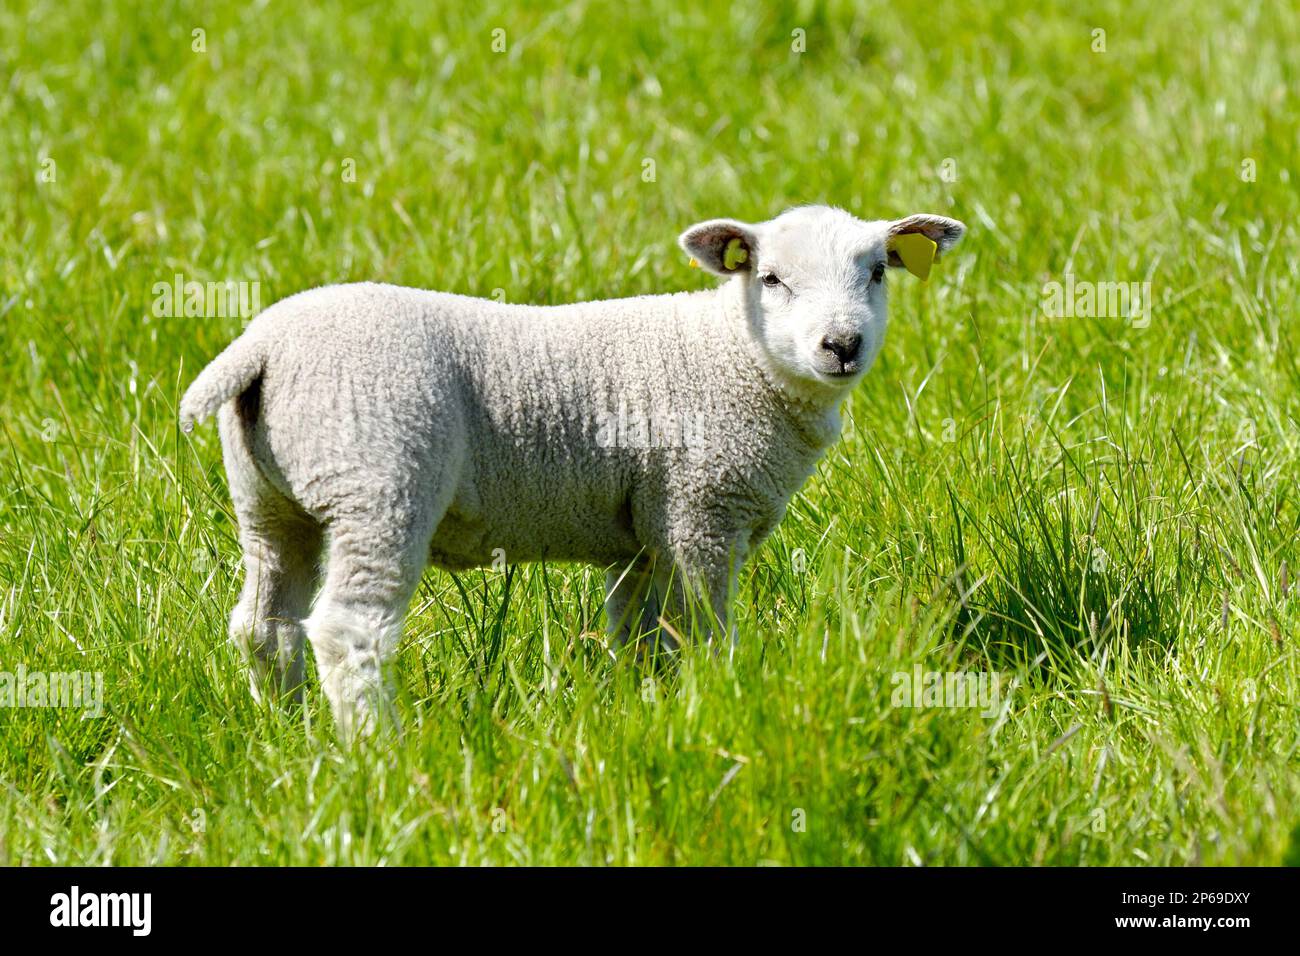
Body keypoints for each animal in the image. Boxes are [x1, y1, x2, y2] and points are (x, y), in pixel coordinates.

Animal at [180, 205, 966, 736]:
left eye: (877, 272)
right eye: (770, 279)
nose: (842, 345)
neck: (733, 355)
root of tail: (261, 347)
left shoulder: (646, 530)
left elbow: (646, 636)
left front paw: (648, 708)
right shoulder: (701, 510)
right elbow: (705, 628)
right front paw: (722, 701)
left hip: (269, 501)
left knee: (264, 625)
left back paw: (290, 733)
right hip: (378, 482)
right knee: (348, 628)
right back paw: (380, 752)